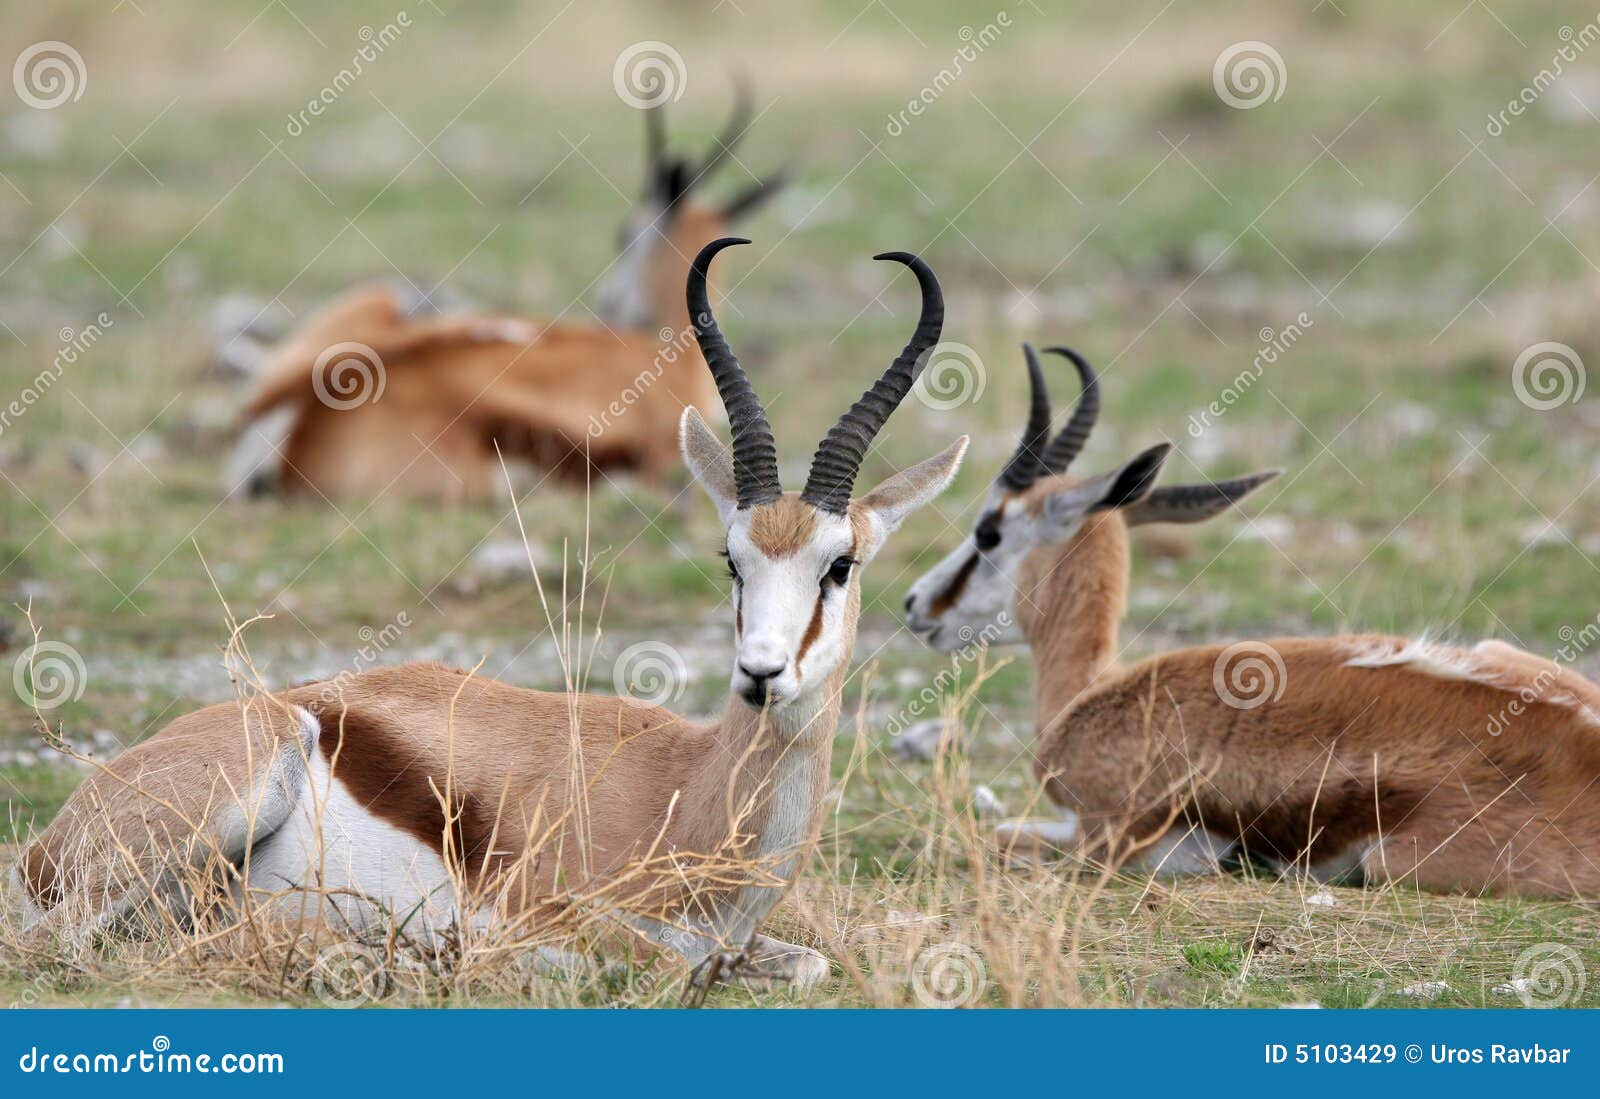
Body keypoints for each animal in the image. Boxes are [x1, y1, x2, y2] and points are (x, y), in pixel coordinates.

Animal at [19, 238, 968, 988]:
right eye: (730, 557)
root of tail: (48, 840)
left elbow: (802, 962)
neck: (692, 788)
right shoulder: (539, 913)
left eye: (839, 563)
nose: (762, 673)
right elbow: (661, 961)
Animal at [903, 345, 1600, 898]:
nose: (916, 605)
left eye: (988, 532)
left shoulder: (1116, 839)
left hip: (1392, 861)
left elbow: (999, 832)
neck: (1090, 696)